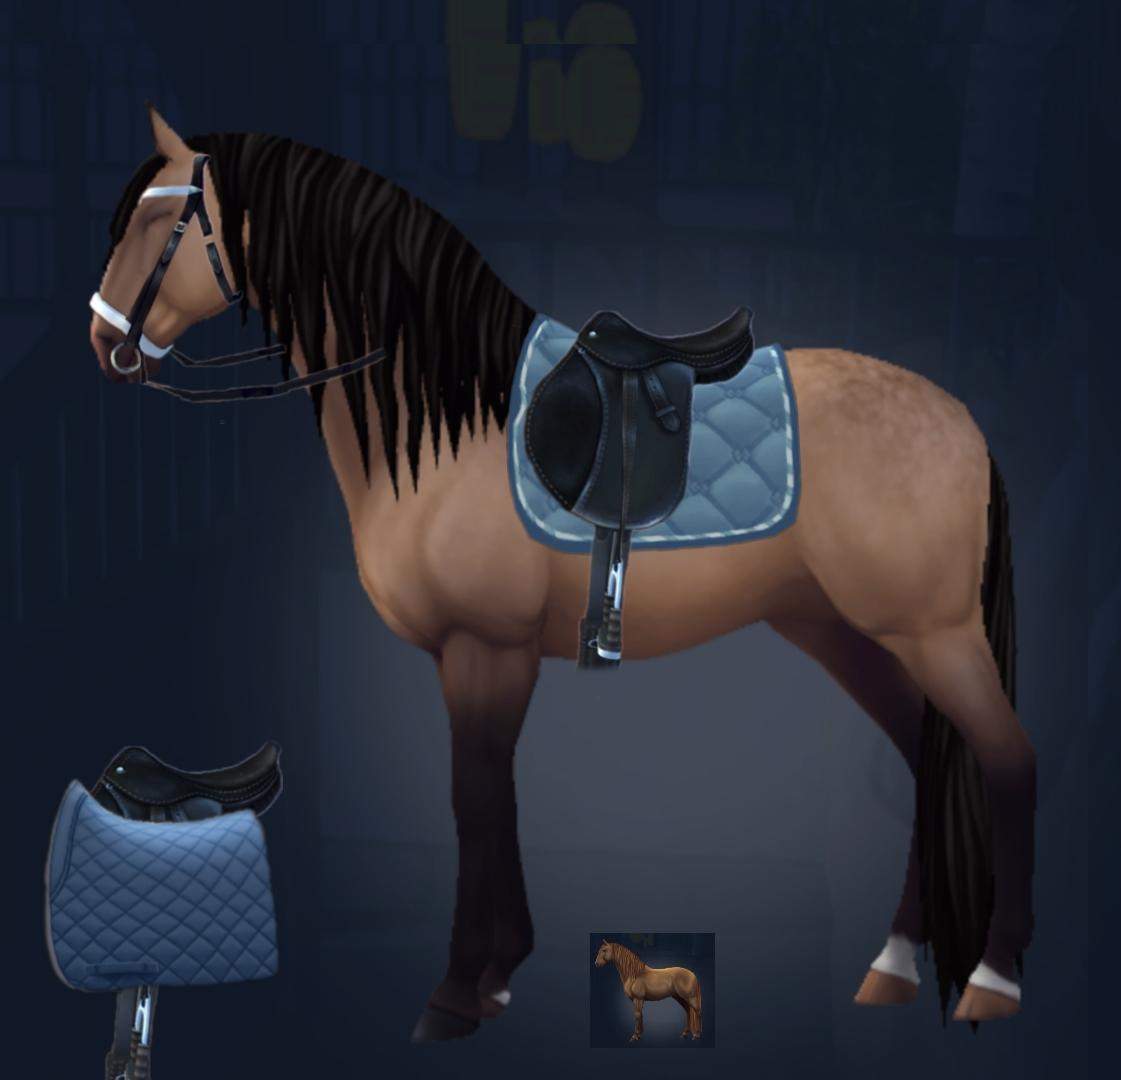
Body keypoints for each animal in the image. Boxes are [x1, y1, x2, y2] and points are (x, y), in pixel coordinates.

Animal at [88, 106, 1036, 1039]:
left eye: (159, 222)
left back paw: (991, 981)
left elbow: (475, 802)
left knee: (1006, 762)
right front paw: (495, 976)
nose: (103, 339)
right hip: (845, 632)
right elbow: (491, 802)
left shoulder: (483, 647)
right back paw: (891, 968)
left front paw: (457, 994)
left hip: (933, 634)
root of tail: (960, 422)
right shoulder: (484, 658)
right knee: (924, 763)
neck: (451, 423)